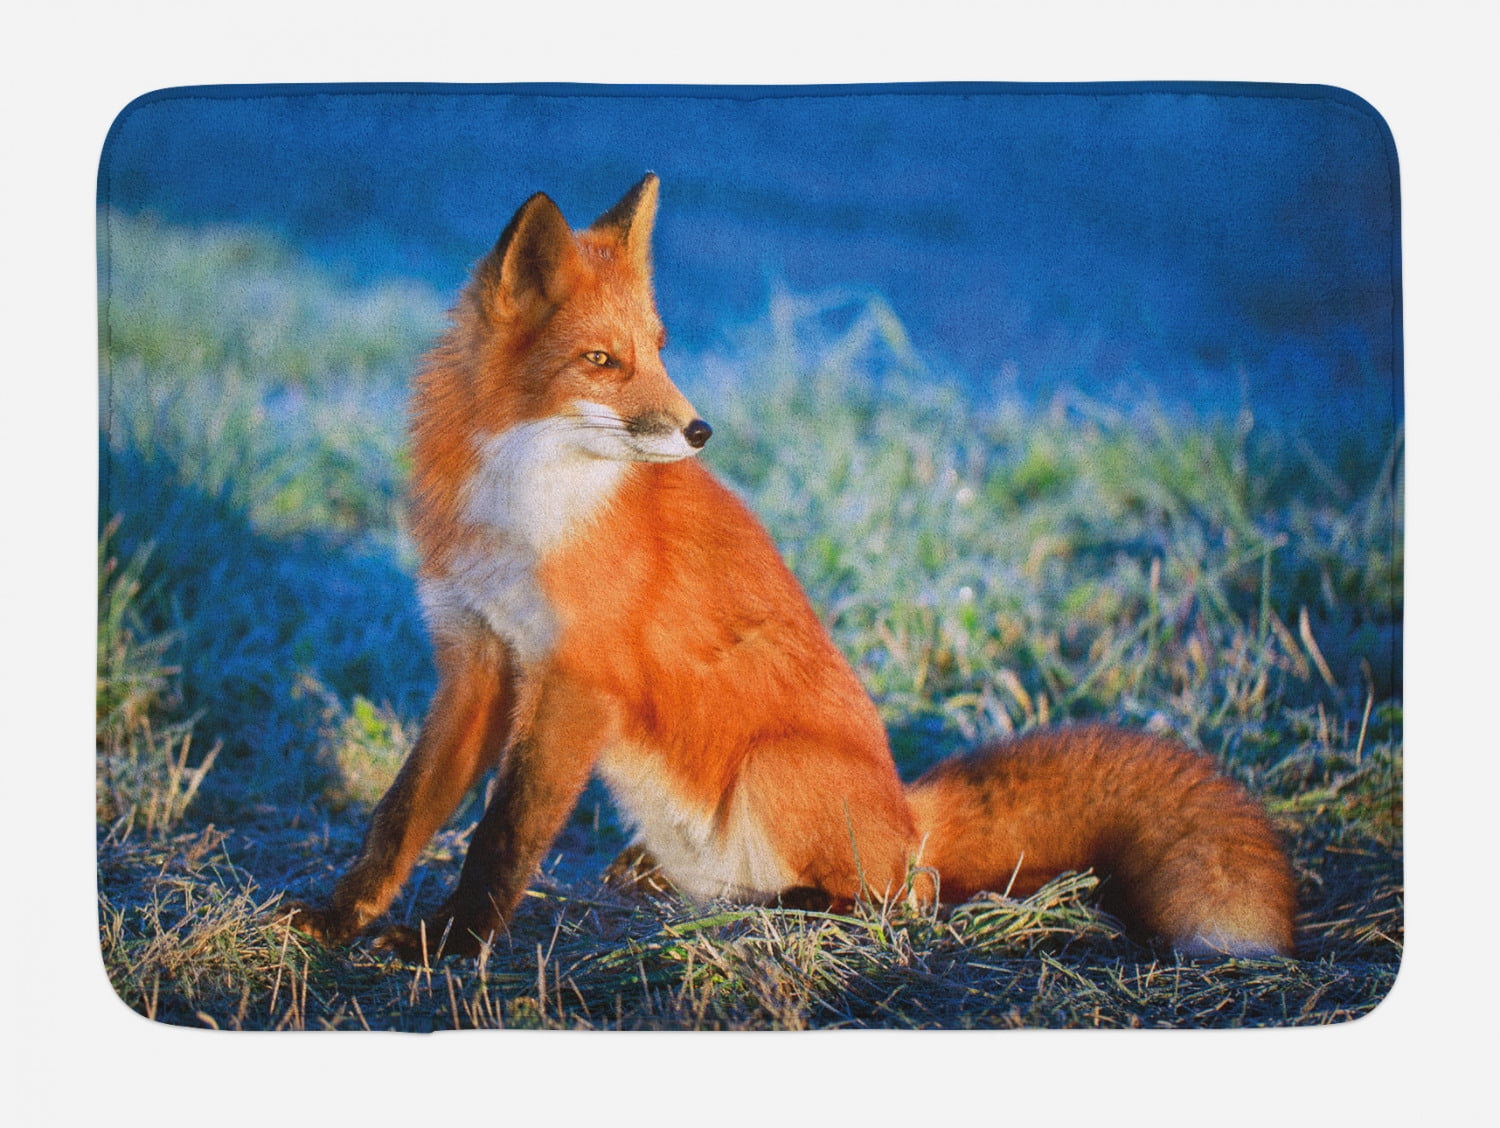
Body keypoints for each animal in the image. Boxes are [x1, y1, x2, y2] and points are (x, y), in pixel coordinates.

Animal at [284, 174, 1295, 960]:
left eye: (659, 348)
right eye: (602, 361)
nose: (699, 431)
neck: (522, 509)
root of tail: (911, 816)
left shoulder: (576, 678)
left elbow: (505, 833)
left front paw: (449, 946)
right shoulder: (476, 661)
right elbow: (402, 814)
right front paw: (341, 918)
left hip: (776, 765)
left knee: (901, 901)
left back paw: (797, 908)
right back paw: (679, 886)